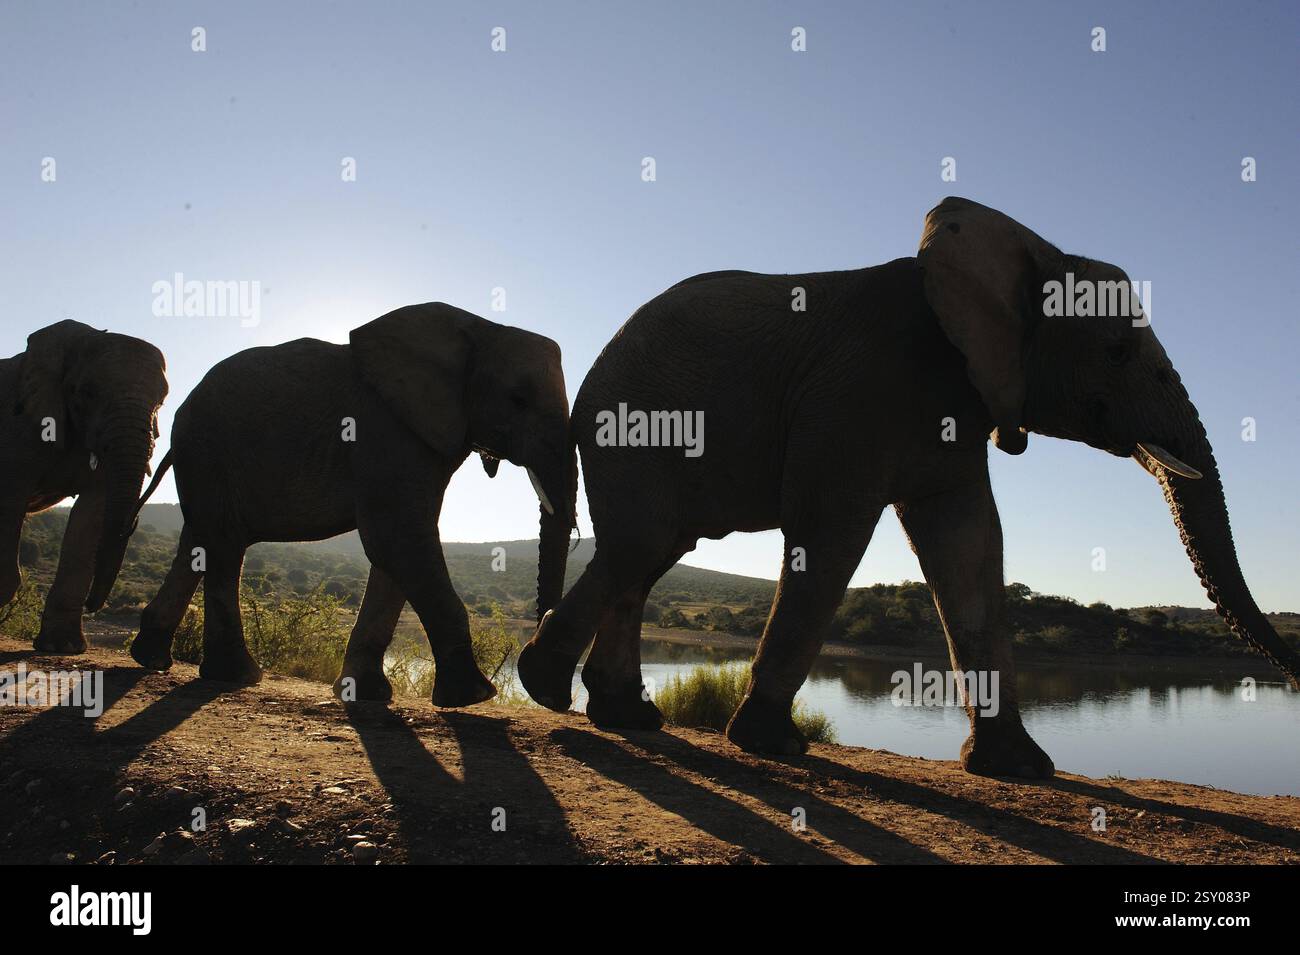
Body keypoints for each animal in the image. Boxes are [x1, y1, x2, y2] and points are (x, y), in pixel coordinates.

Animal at [0, 320, 168, 652]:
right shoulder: (18, 428)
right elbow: (9, 501)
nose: (94, 605)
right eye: (87, 392)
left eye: (162, 400)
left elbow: (91, 513)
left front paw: (61, 648)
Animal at [129, 302, 574, 706]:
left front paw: (365, 694)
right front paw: (472, 697)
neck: (480, 328)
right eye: (518, 399)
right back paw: (237, 675)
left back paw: (153, 659)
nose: (540, 632)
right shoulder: (385, 428)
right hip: (208, 448)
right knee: (224, 544)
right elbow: (398, 538)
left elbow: (395, 551)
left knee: (199, 540)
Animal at [519, 196, 1300, 779]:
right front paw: (774, 746)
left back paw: (624, 715)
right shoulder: (862, 392)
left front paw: (1019, 768)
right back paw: (547, 689)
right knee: (643, 543)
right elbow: (832, 530)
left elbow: (969, 542)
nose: (1291, 669)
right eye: (1117, 350)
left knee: (653, 553)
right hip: (633, 427)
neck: (1029, 251)